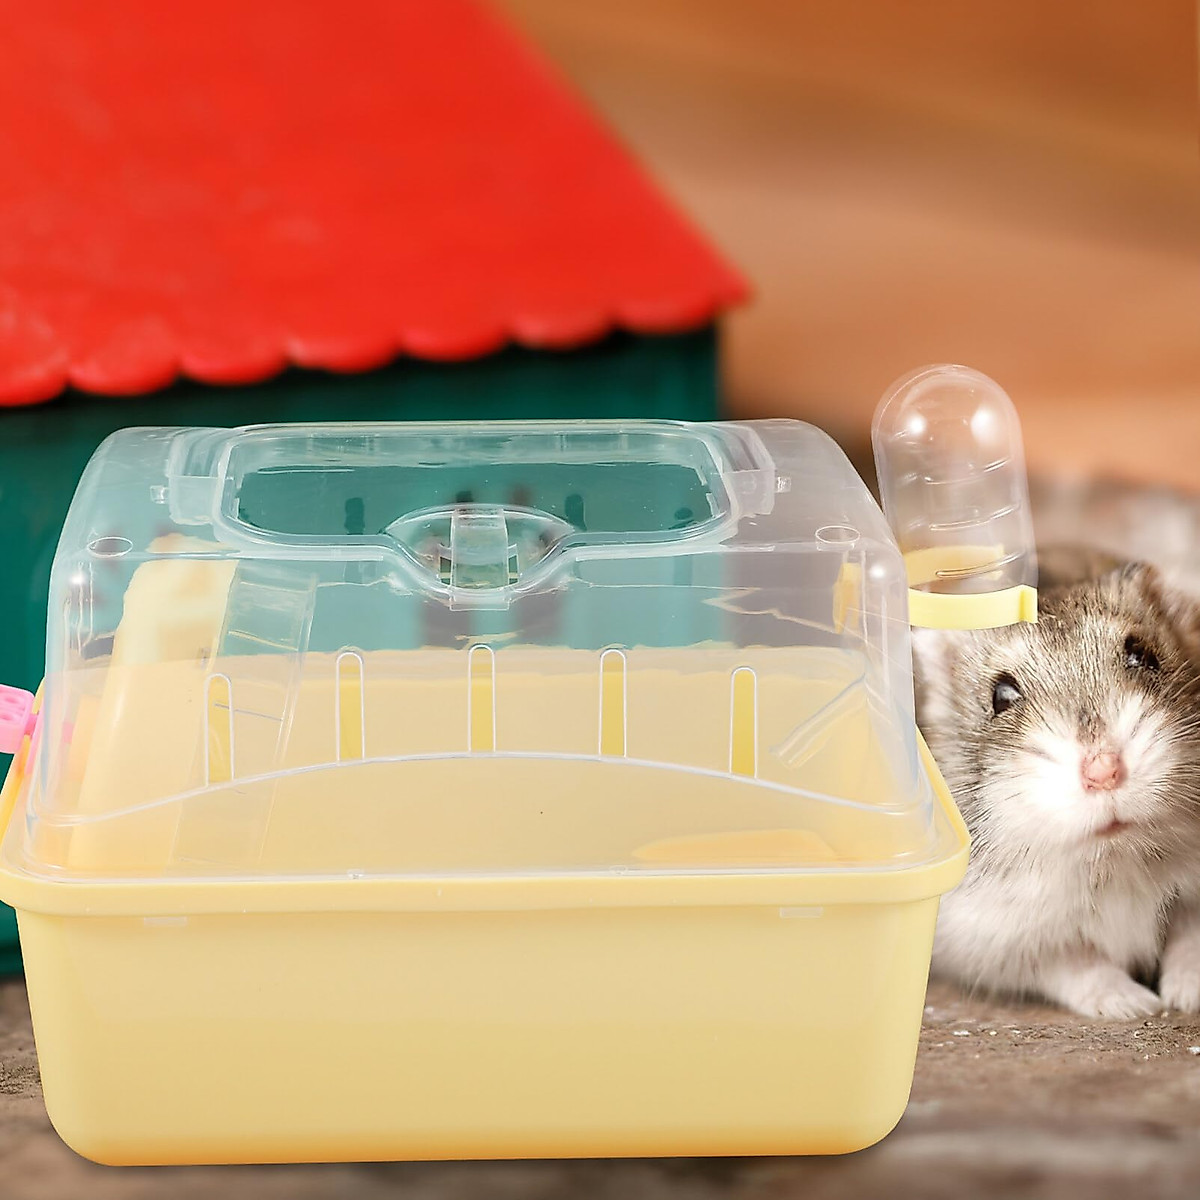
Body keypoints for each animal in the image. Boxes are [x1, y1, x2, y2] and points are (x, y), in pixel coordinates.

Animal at [915, 552, 1200, 1018]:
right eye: (1001, 696)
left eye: (1142, 655)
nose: (1104, 772)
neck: (1112, 861)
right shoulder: (991, 939)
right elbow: (1075, 963)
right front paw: (1135, 1005)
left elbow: (1189, 935)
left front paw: (1185, 998)